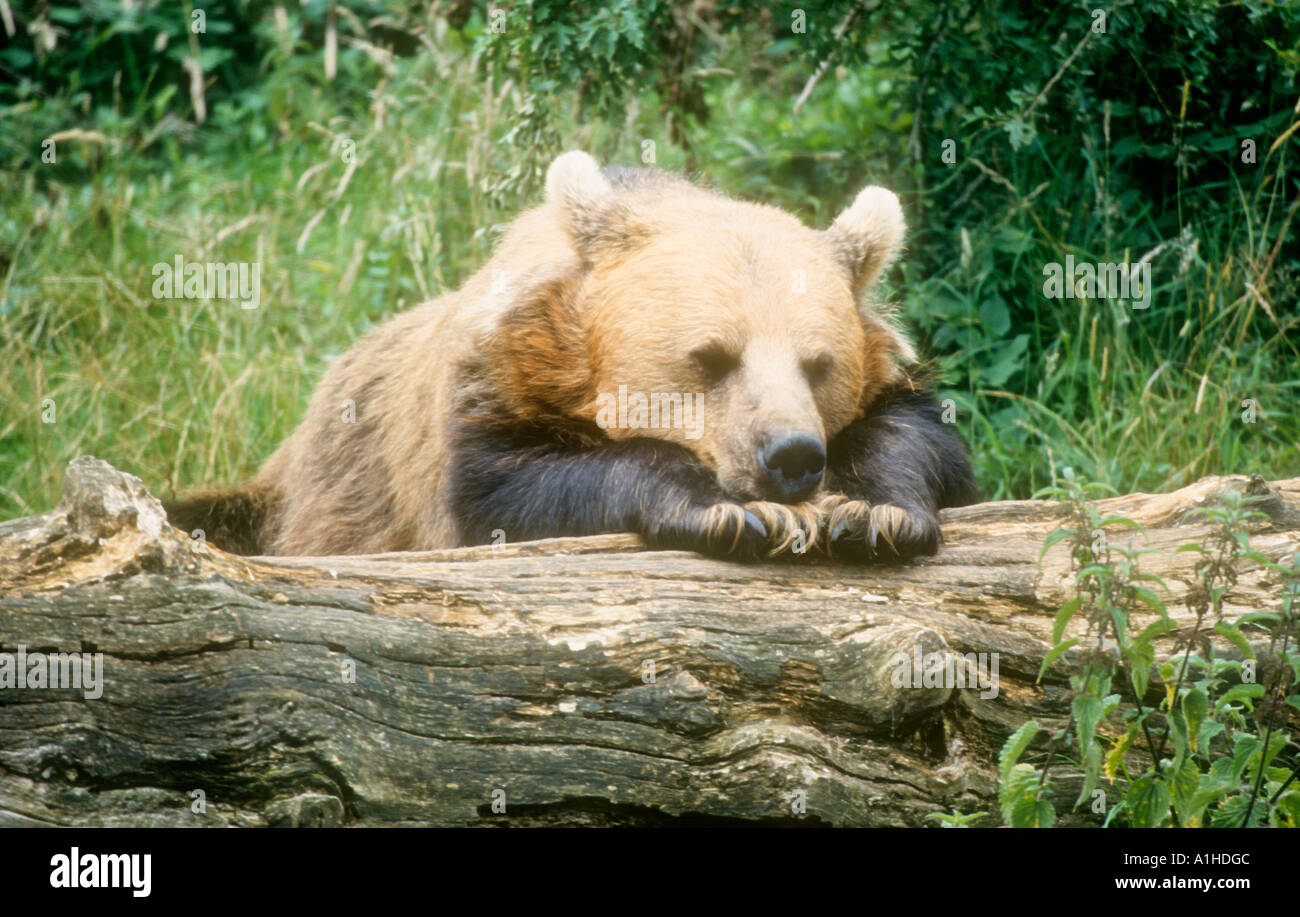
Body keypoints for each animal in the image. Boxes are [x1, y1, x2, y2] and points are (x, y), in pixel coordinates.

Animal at [165, 151, 977, 561]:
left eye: (819, 363)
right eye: (710, 357)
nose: (792, 455)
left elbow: (917, 436)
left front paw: (871, 512)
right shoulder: (494, 384)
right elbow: (506, 489)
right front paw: (731, 513)